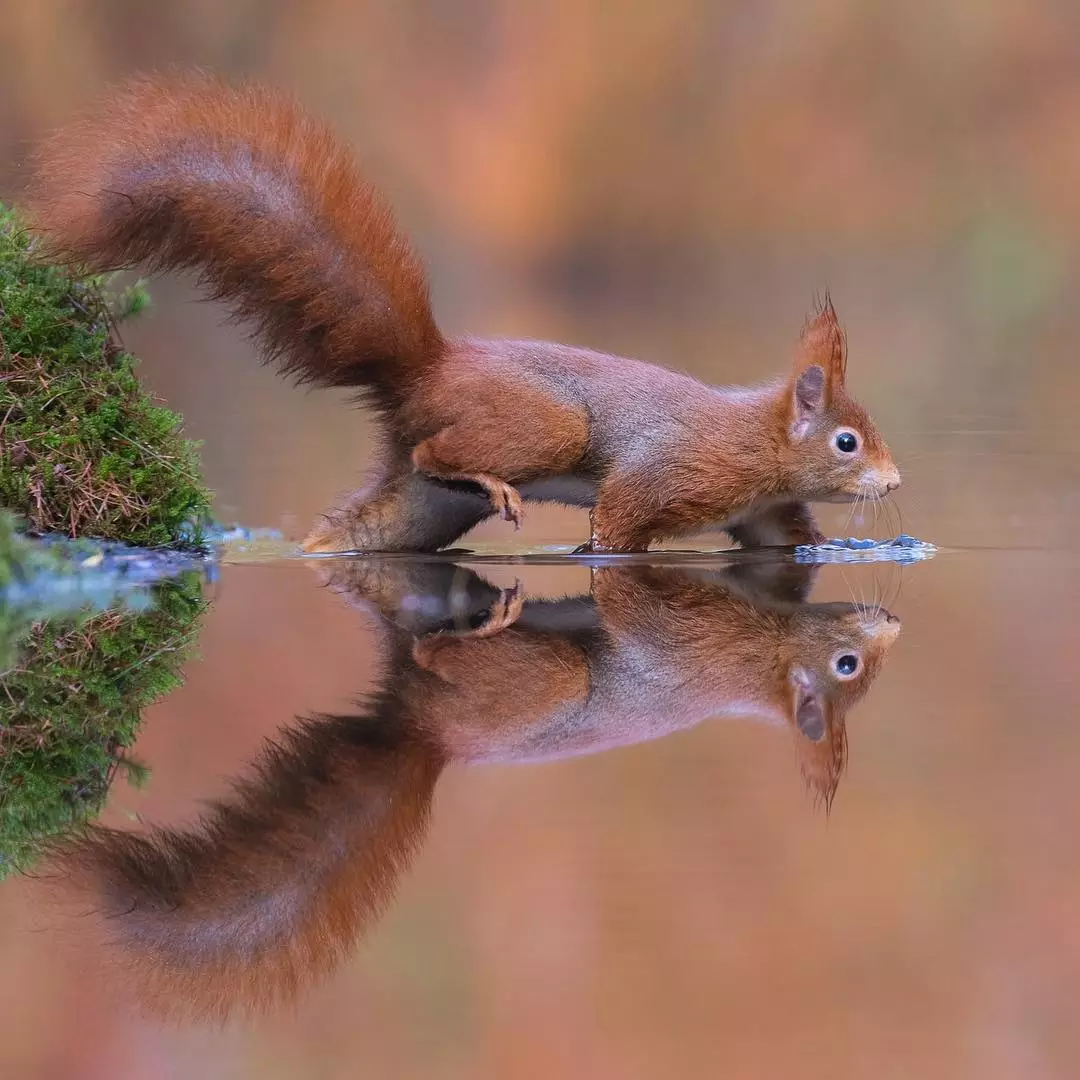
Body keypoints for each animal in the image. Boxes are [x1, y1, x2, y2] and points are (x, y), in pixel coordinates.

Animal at [25, 71, 902, 552]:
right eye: (848, 442)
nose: (895, 483)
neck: (758, 439)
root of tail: (427, 365)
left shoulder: (766, 514)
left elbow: (788, 544)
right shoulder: (674, 474)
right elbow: (620, 522)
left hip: (419, 509)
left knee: (363, 520)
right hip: (544, 428)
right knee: (437, 454)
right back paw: (490, 481)